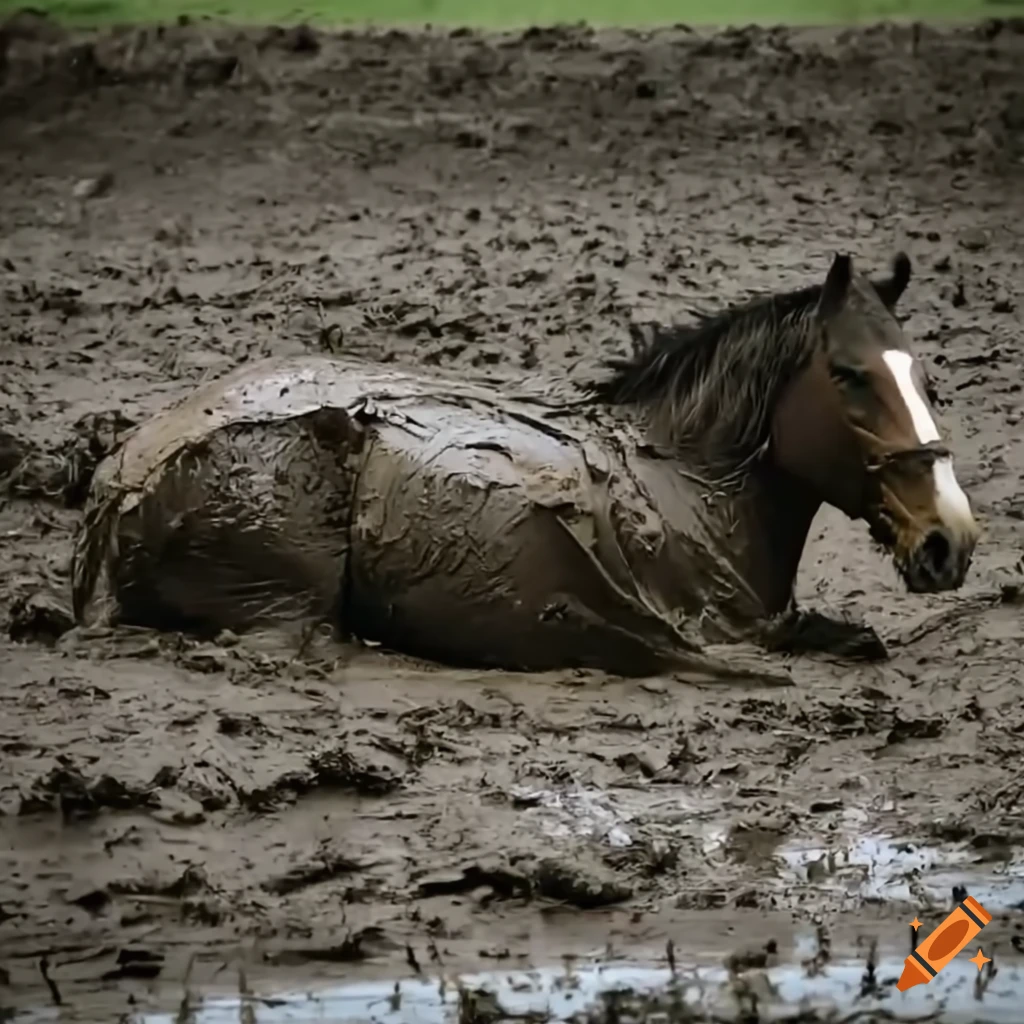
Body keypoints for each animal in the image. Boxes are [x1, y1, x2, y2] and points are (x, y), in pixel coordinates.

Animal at [70, 252, 979, 680]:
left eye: (925, 378)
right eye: (850, 376)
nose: (951, 542)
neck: (690, 487)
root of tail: (121, 479)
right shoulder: (728, 635)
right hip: (286, 609)